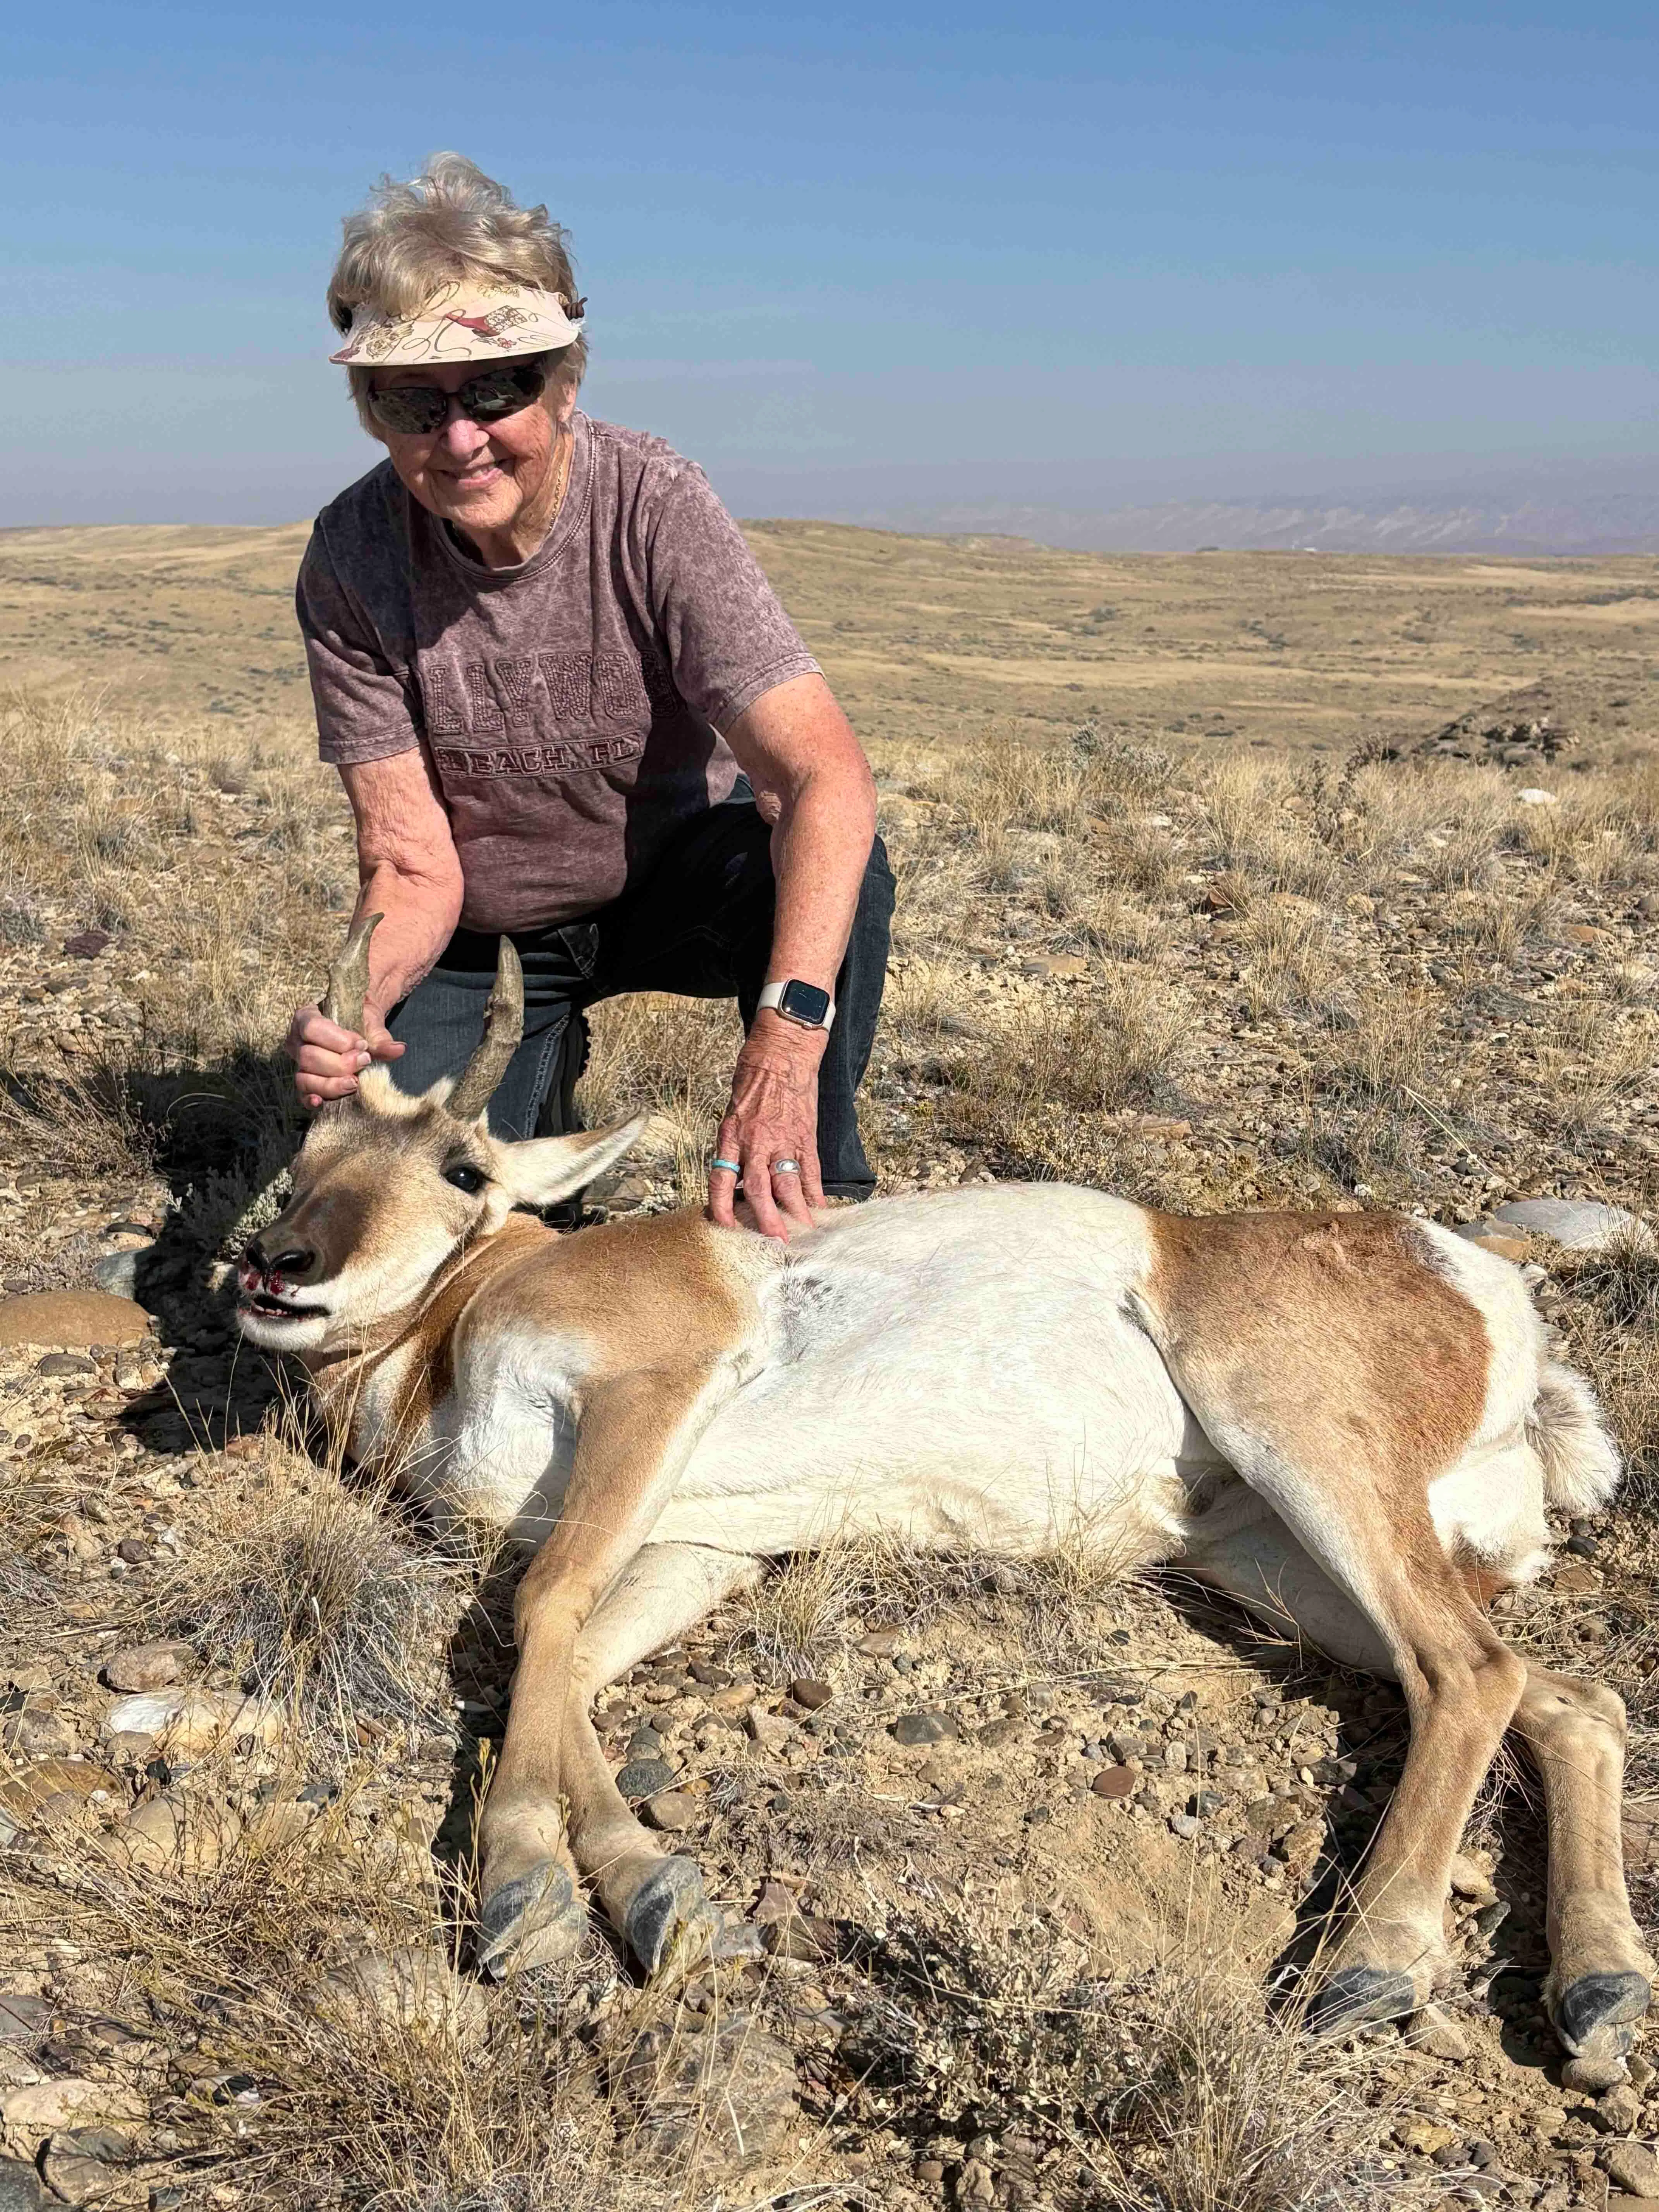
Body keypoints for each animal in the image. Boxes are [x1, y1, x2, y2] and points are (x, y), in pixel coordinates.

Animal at [236, 915, 1651, 2069]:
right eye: (309, 1141)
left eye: (464, 1171)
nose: (275, 1266)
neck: (459, 1313)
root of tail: (1476, 1284)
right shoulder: (700, 1541)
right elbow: (569, 1658)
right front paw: (658, 1895)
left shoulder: (651, 1391)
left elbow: (540, 1612)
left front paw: (526, 1897)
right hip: (1272, 1564)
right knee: (1559, 1697)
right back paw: (1596, 1990)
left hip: (1302, 1460)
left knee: (1466, 1675)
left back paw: (1369, 1964)